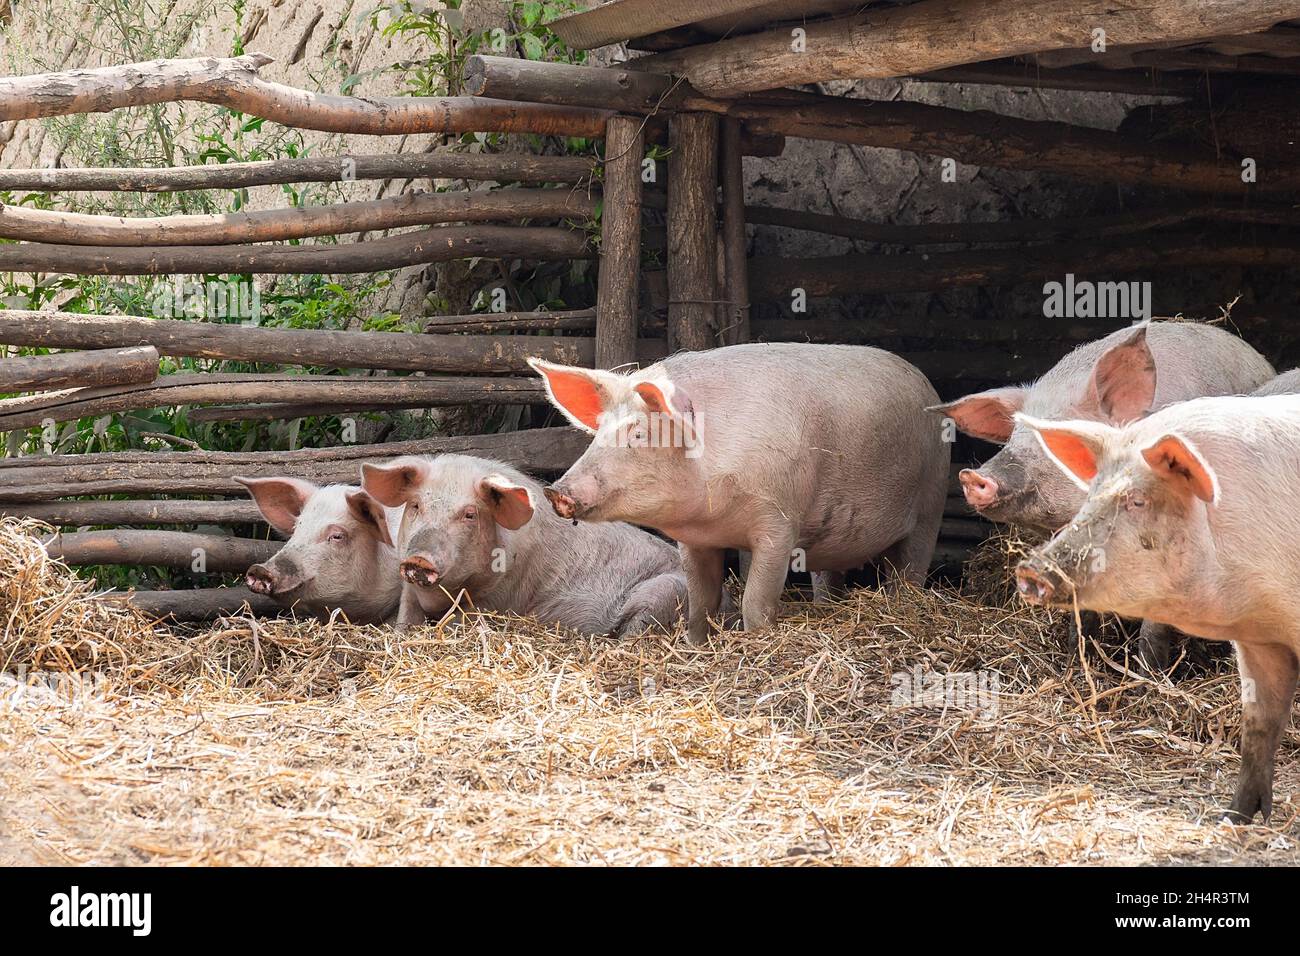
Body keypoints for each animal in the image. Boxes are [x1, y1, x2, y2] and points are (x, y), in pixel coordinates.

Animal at [359, 453, 687, 636]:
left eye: (469, 514)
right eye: (415, 505)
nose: (419, 559)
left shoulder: (503, 596)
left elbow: (460, 620)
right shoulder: (409, 589)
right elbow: (405, 618)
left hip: (666, 591)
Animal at [529, 343, 951, 644]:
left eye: (639, 434)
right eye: (599, 432)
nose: (556, 490)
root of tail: (926, 383)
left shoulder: (779, 523)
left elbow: (755, 600)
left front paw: (756, 641)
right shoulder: (695, 541)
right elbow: (700, 600)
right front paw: (695, 645)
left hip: (932, 497)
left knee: (911, 568)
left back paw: (904, 604)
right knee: (829, 577)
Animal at [1013, 394, 1300, 822]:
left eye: (1138, 500)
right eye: (1090, 494)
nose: (1031, 569)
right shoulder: (1260, 638)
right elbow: (1260, 723)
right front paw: (1232, 820)